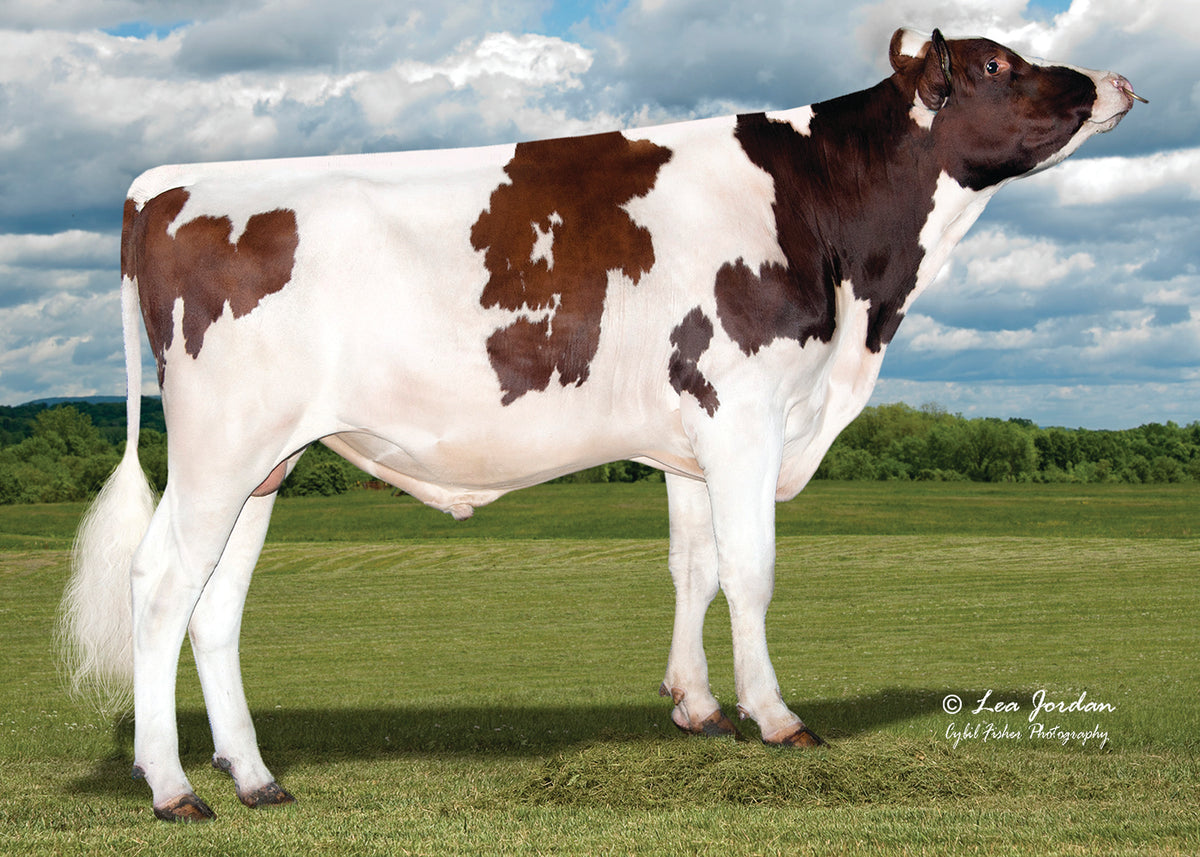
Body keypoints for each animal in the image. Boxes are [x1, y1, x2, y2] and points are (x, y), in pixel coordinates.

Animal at [60, 28, 1140, 821]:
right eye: (996, 65)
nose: (1119, 81)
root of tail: (163, 182)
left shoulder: (692, 432)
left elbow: (693, 565)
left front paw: (697, 706)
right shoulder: (746, 410)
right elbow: (751, 569)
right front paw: (775, 715)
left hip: (266, 459)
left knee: (216, 605)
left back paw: (254, 776)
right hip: (219, 444)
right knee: (161, 582)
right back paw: (172, 784)